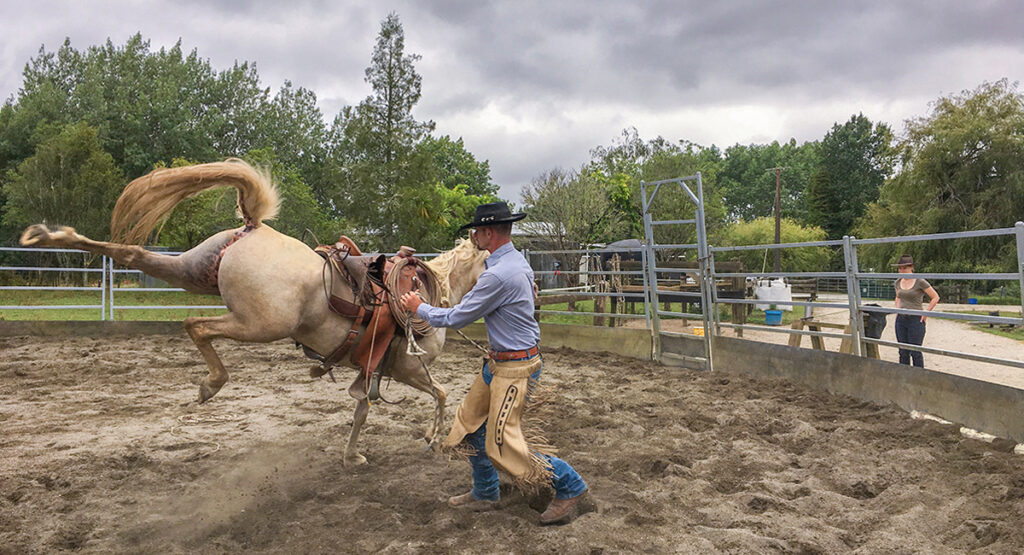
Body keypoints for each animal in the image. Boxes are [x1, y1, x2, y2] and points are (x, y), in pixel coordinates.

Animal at [19, 158, 490, 466]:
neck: (434, 292)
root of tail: (254, 227)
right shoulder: (406, 369)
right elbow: (440, 394)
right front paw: (431, 439)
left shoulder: (369, 369)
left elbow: (363, 408)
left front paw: (353, 454)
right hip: (259, 324)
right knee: (197, 325)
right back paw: (211, 384)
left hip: (191, 270)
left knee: (134, 256)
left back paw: (49, 235)